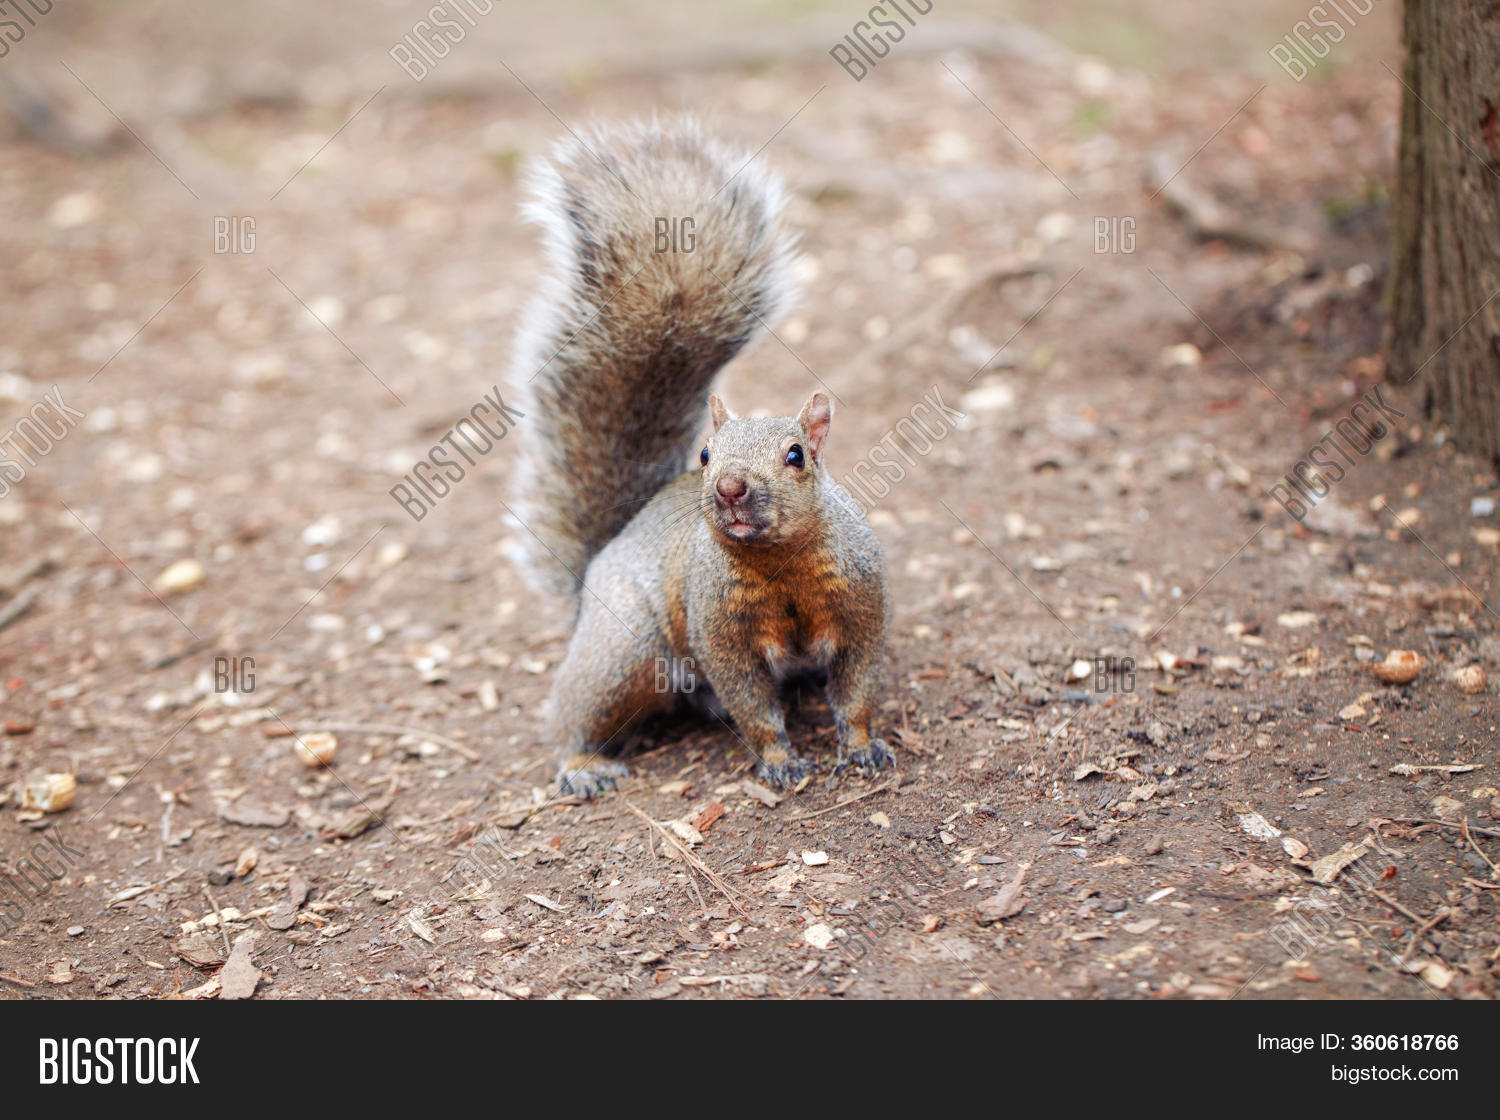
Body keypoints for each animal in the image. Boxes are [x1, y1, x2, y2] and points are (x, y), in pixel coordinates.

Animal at [504, 118, 891, 798]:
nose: (730, 489)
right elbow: (753, 705)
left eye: (797, 455)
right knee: (573, 712)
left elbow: (858, 687)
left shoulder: (859, 607)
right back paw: (582, 766)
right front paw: (780, 760)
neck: (779, 564)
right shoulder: (721, 634)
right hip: (627, 648)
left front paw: (863, 746)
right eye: (706, 455)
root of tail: (590, 579)